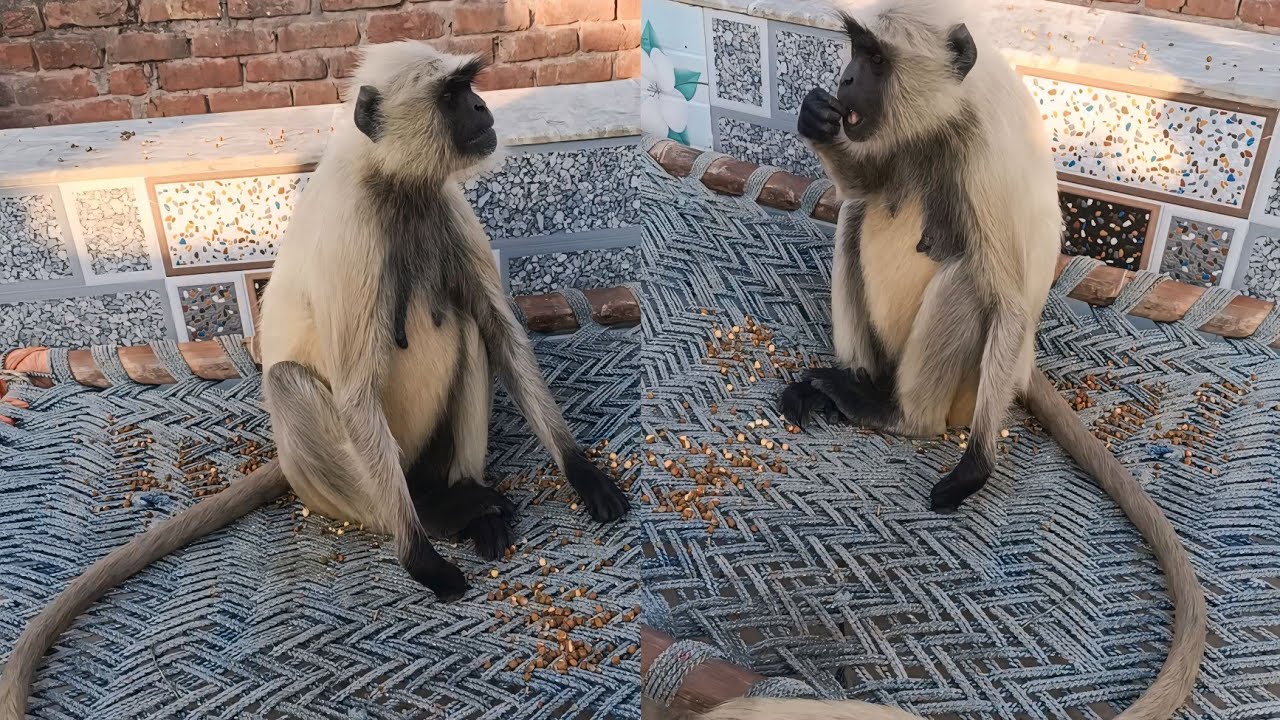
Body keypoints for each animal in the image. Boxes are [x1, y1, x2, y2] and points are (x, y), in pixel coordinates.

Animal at [0, 41, 629, 718]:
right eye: (452, 95)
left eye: (469, 88)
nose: (485, 109)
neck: (391, 183)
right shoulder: (357, 235)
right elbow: (353, 393)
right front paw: (421, 560)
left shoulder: (444, 207)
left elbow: (501, 332)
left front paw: (582, 473)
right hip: (351, 479)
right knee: (292, 383)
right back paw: (435, 517)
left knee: (465, 323)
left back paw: (467, 497)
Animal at [693, 3, 1208, 719]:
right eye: (856, 52)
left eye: (877, 60)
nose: (845, 79)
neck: (951, 113)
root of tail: (1019, 369)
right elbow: (867, 183)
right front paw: (816, 118)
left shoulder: (984, 157)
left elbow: (1007, 297)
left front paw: (975, 468)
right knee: (858, 210)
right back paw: (854, 384)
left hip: (977, 380)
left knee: (971, 281)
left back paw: (901, 416)